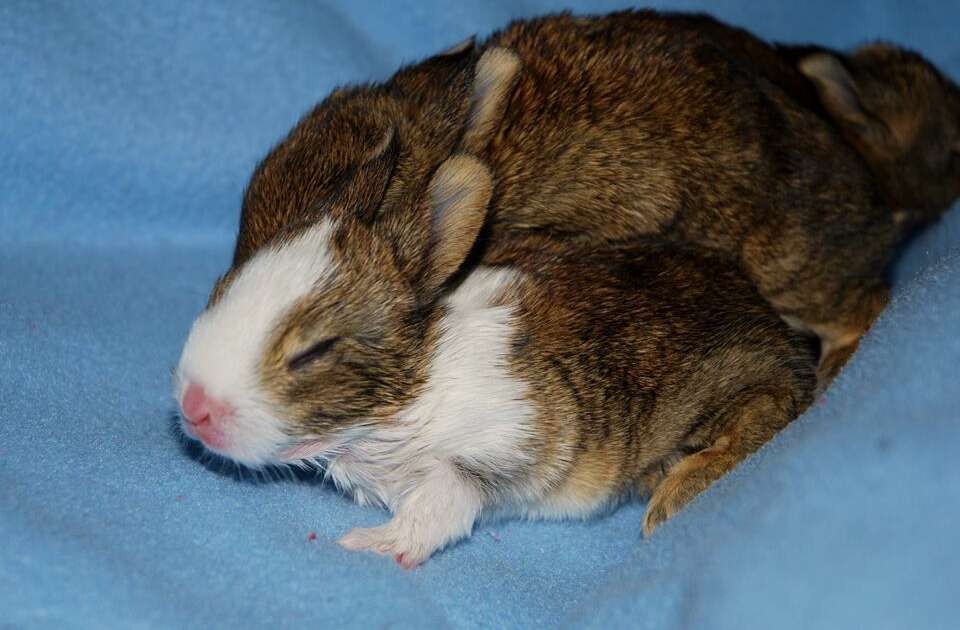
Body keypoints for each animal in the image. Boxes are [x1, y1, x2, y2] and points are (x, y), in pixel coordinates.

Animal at [175, 154, 817, 567]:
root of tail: (781, 338)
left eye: (316, 350)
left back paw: (671, 497)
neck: (415, 388)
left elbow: (439, 509)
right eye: (222, 288)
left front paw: (372, 545)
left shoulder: (494, 453)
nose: (193, 407)